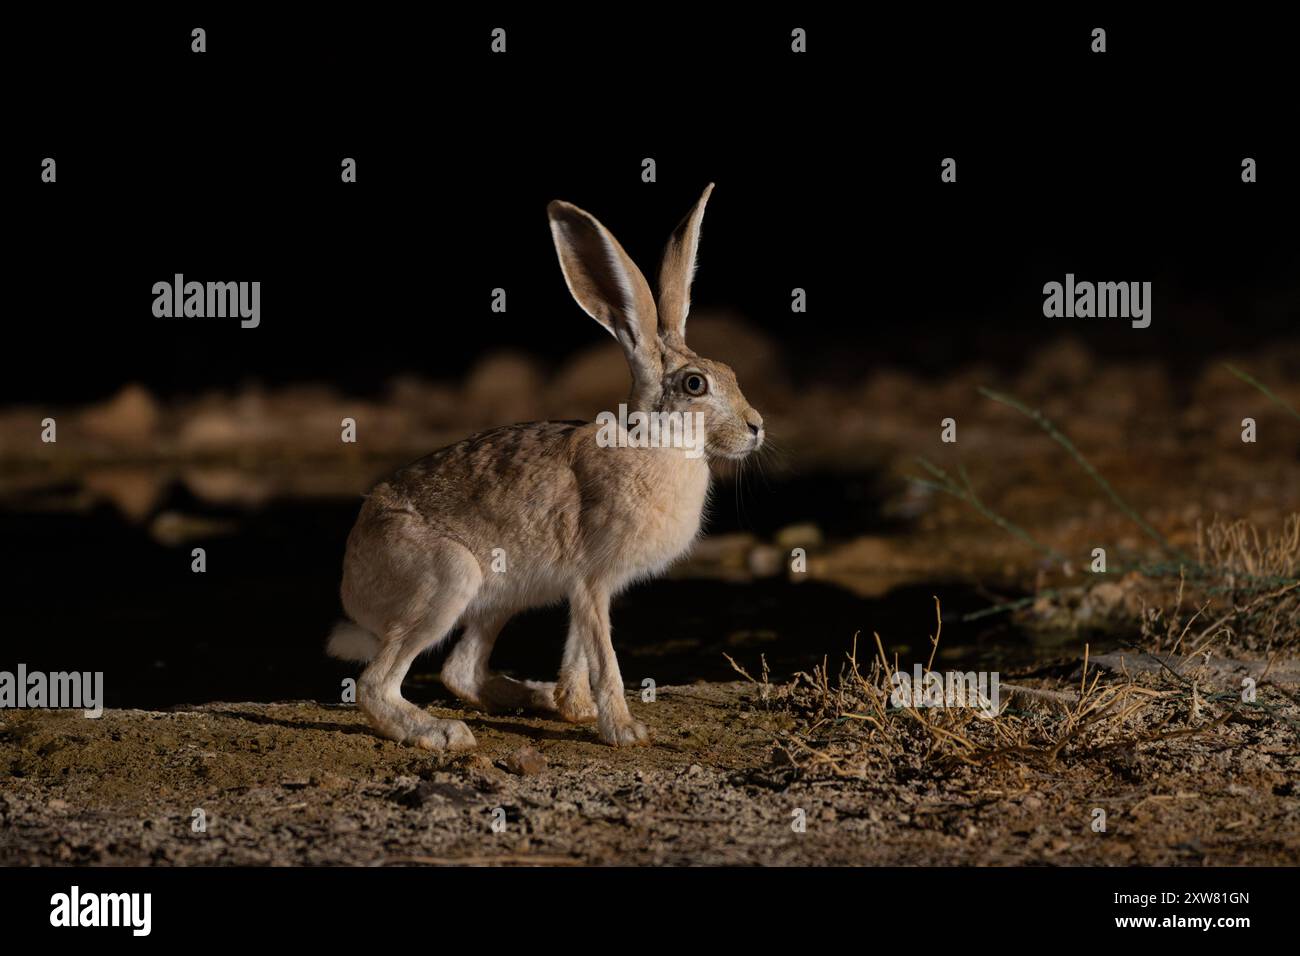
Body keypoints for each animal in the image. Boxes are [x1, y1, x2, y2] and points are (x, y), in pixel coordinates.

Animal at [327, 183, 764, 749]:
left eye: (729, 372)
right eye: (695, 385)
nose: (756, 427)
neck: (654, 442)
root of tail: (353, 589)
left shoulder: (586, 589)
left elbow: (579, 651)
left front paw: (576, 709)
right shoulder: (592, 581)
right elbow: (605, 660)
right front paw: (625, 731)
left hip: (500, 596)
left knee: (461, 672)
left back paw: (531, 697)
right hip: (449, 577)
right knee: (375, 686)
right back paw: (441, 733)